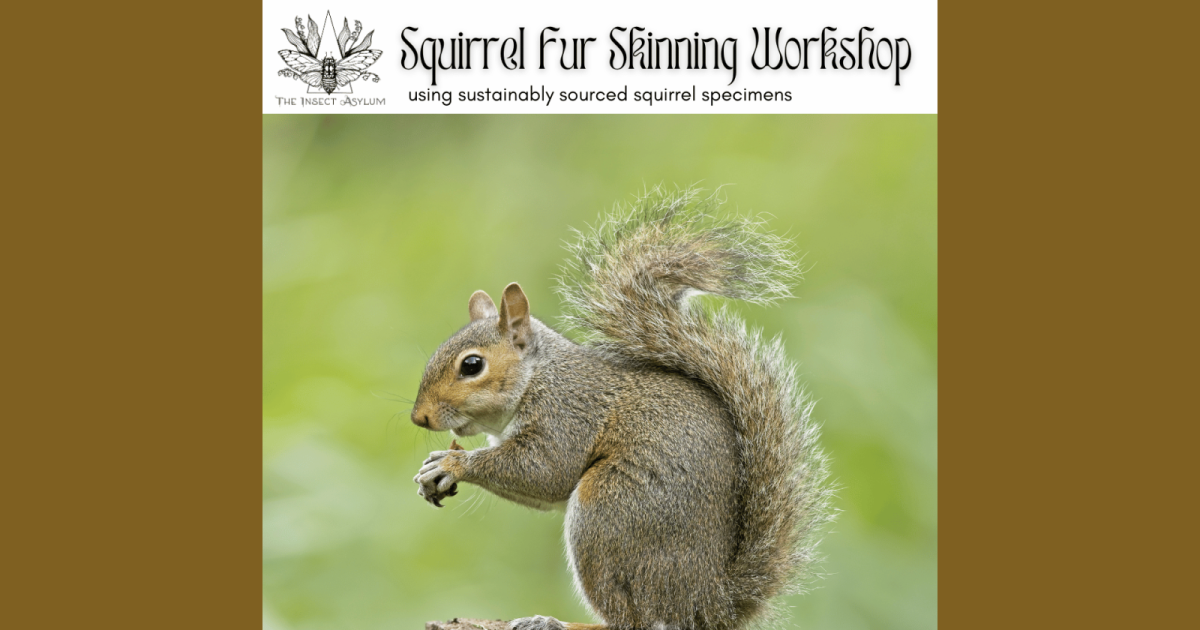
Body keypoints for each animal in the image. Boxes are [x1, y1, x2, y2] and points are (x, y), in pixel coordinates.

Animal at [411, 188, 832, 630]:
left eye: (472, 365)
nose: (419, 417)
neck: (538, 378)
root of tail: (709, 603)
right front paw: (433, 470)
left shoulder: (567, 414)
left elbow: (545, 472)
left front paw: (453, 464)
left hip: (608, 514)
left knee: (631, 620)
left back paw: (555, 622)